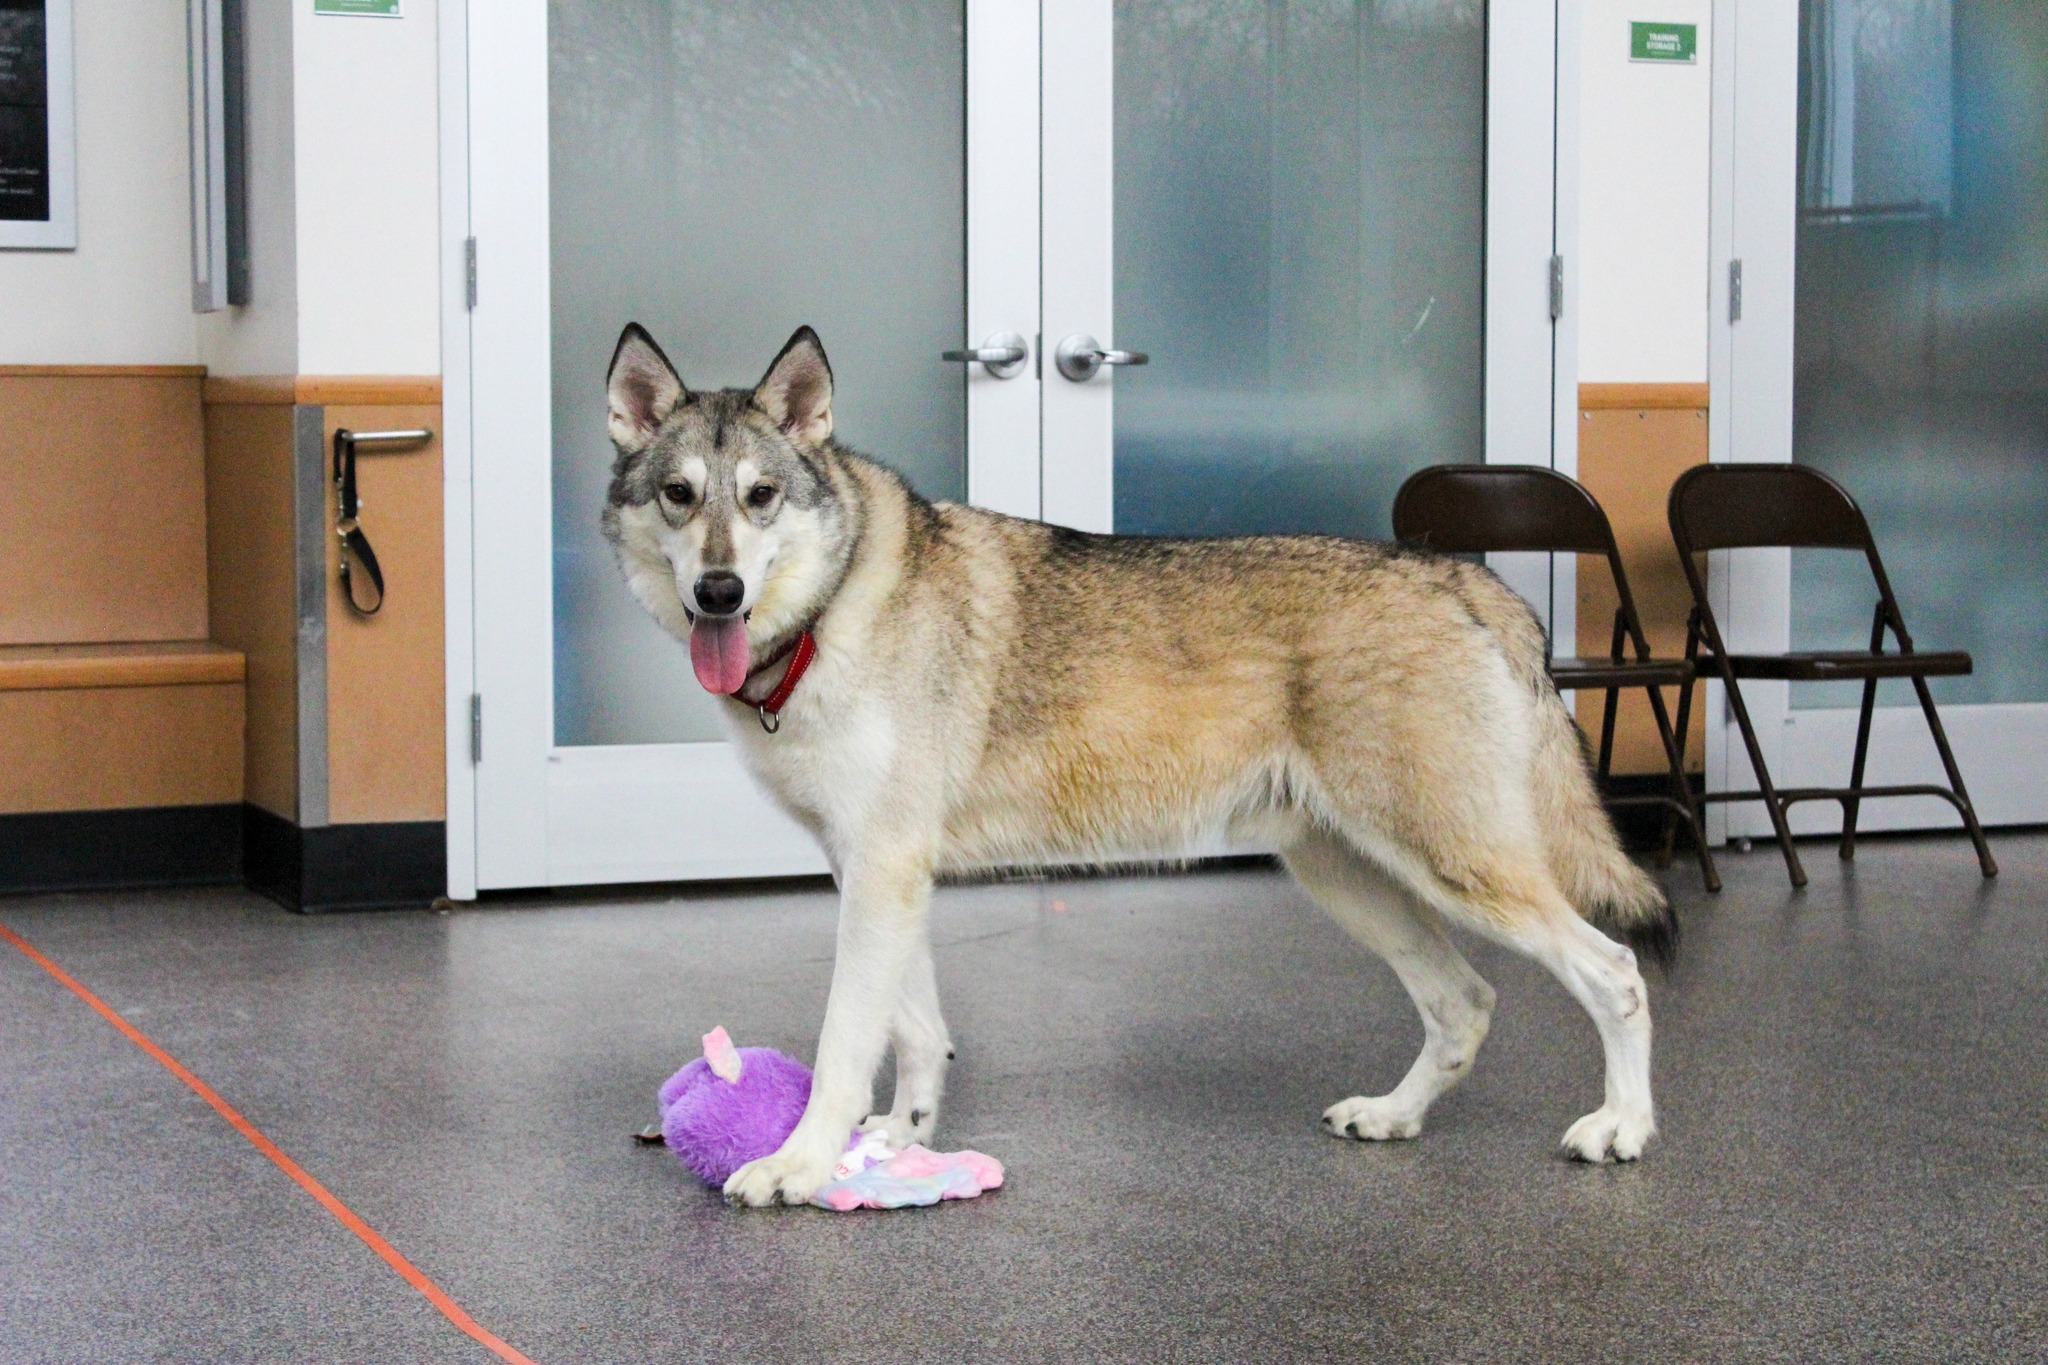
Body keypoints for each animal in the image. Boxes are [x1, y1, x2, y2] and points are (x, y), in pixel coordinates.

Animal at [602, 322, 1677, 1207]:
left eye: (760, 497)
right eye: (679, 495)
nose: (717, 590)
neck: (832, 612)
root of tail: (1459, 575)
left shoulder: (883, 873)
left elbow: (839, 1048)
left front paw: (799, 1165)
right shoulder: (877, 873)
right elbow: (913, 1033)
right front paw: (900, 1142)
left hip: (1458, 869)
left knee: (1616, 972)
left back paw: (1621, 1127)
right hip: (1352, 877)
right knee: (1465, 1005)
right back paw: (1392, 1114)